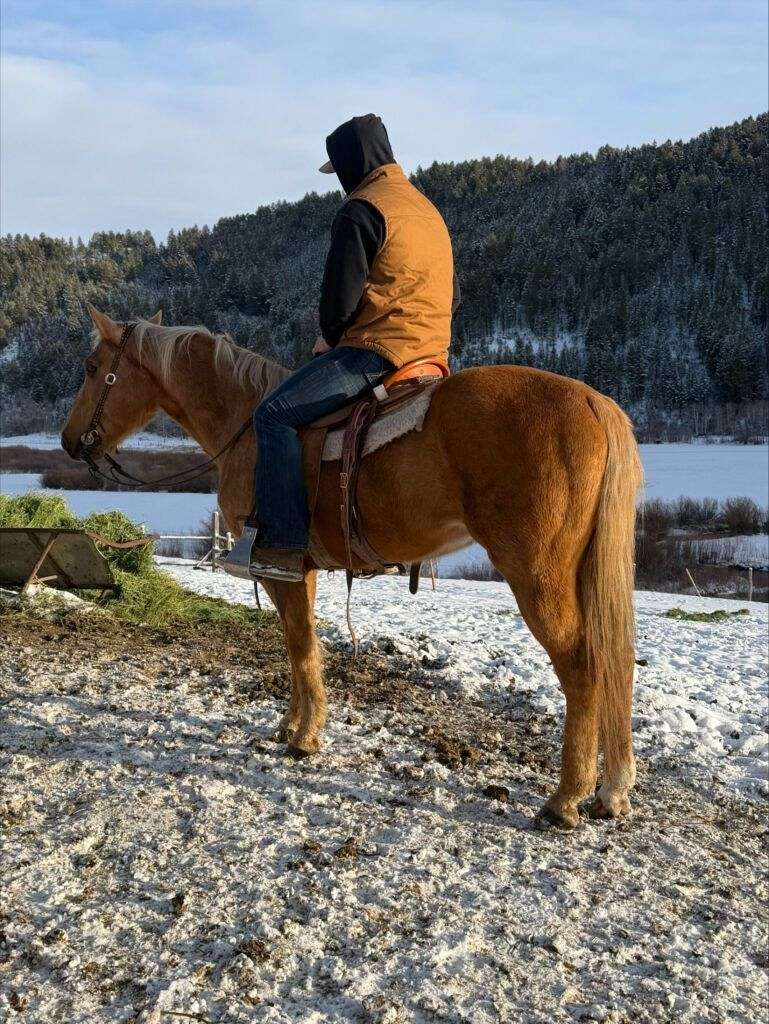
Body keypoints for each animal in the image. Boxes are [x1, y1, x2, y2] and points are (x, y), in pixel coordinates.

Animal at [61, 305, 643, 829]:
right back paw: (610, 792)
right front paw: (290, 726)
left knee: (583, 669)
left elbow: (300, 648)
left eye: (91, 367)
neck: (246, 424)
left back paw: (565, 800)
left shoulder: (281, 570)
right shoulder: (301, 572)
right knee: (612, 665)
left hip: (537, 576)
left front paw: (303, 738)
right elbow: (301, 647)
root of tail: (592, 402)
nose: (69, 441)